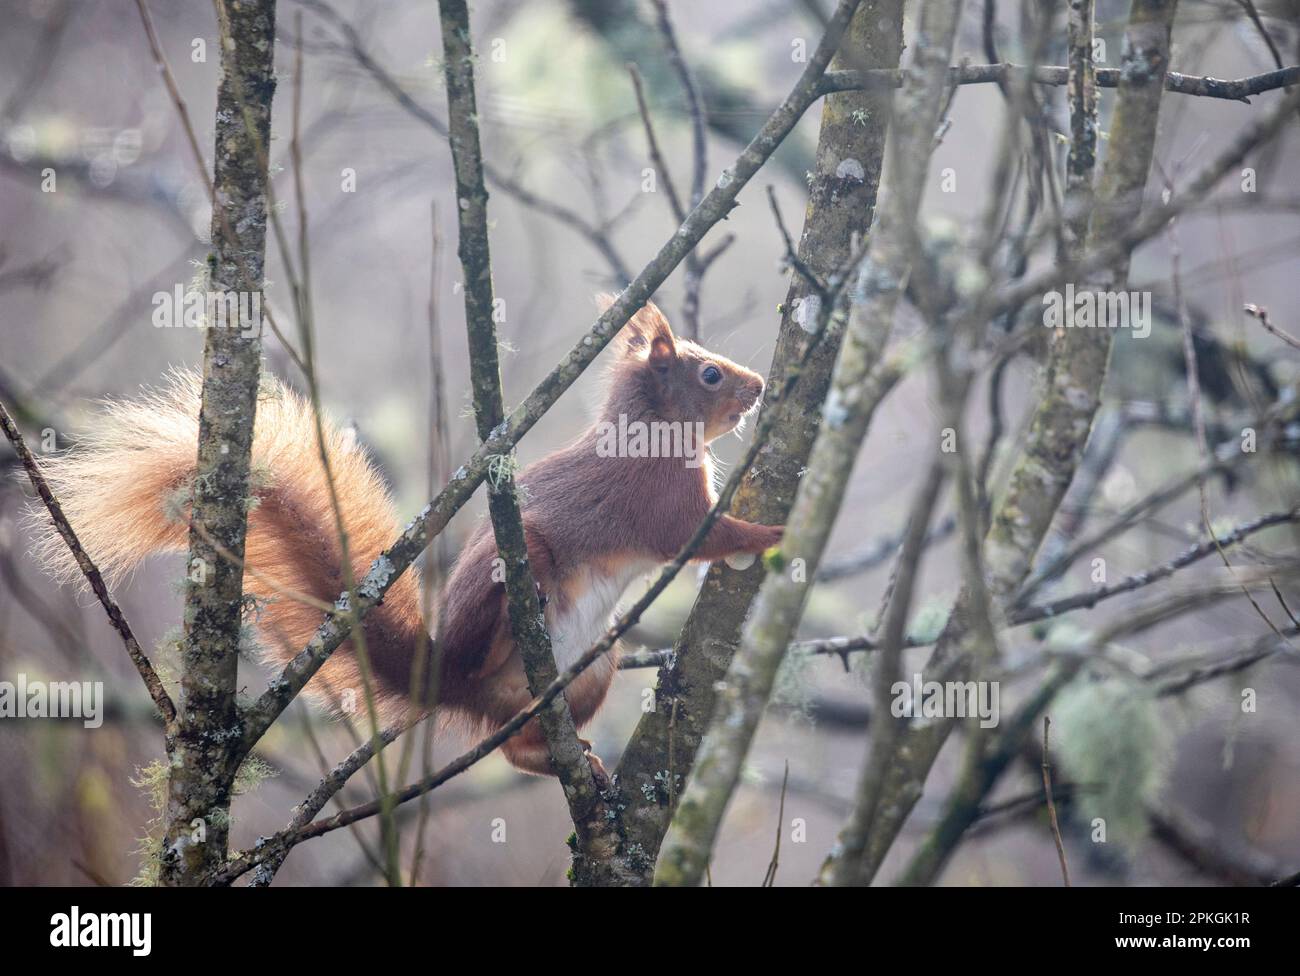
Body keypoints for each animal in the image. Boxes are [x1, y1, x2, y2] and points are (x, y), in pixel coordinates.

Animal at [32, 298, 781, 779]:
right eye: (710, 373)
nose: (761, 385)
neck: (655, 431)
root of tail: (445, 674)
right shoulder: (660, 502)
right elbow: (702, 534)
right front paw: (776, 530)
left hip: (591, 671)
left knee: (513, 747)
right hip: (517, 571)